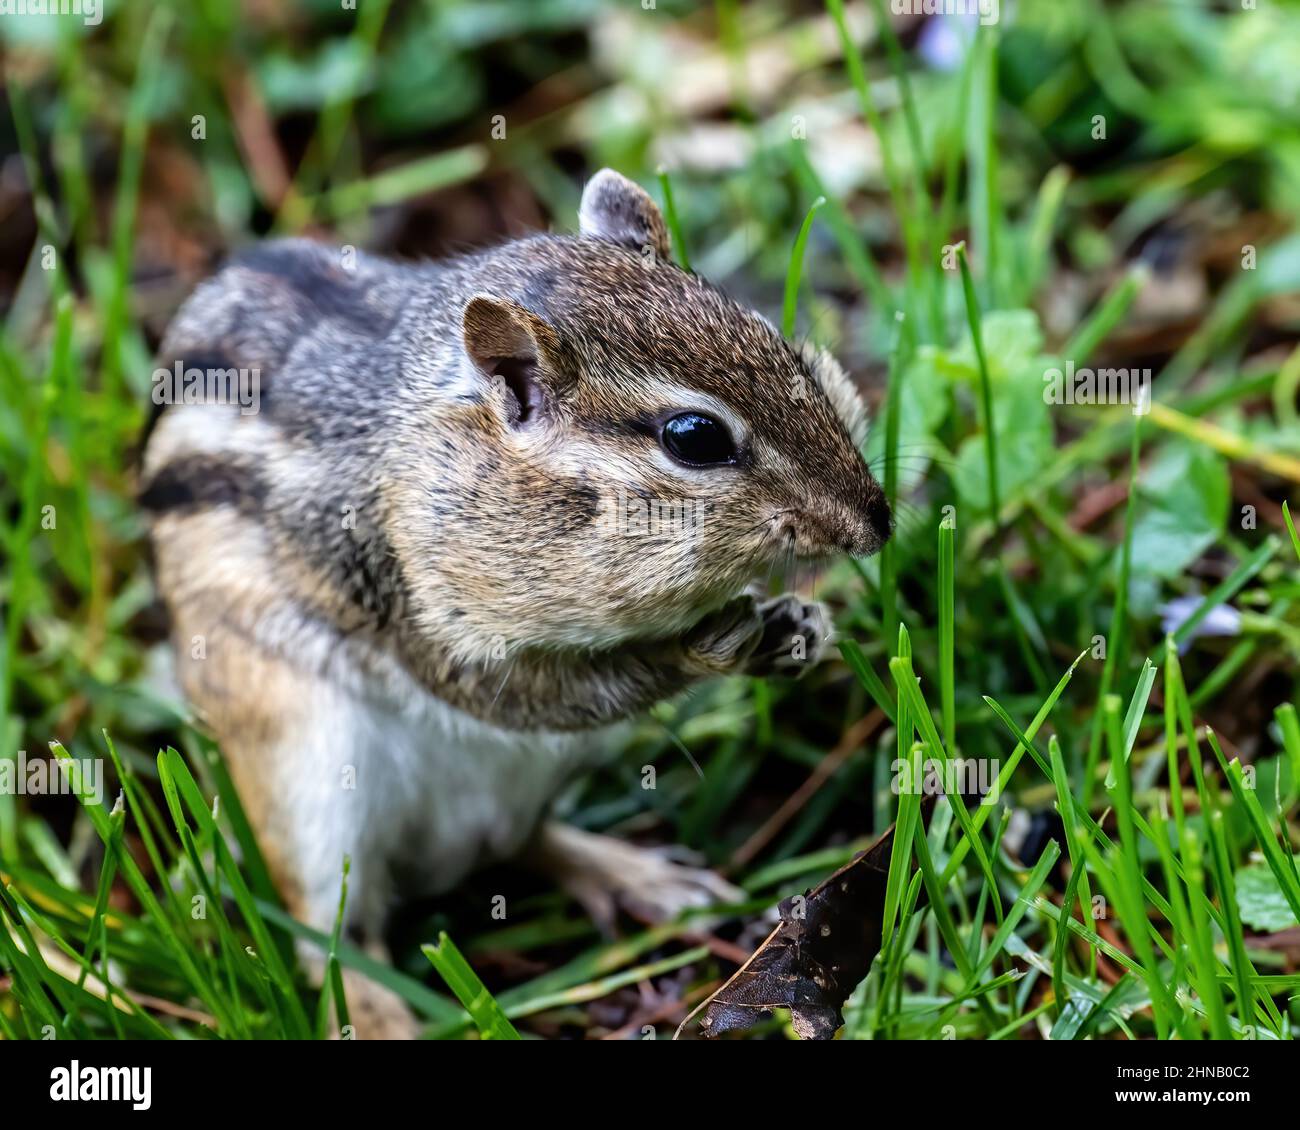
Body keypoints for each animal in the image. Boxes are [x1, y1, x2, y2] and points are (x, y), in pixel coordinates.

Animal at [141, 169, 891, 1037]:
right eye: (694, 436)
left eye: (781, 346)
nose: (877, 523)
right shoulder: (410, 602)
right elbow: (528, 692)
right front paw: (707, 645)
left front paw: (801, 626)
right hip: (309, 783)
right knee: (334, 938)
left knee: (522, 843)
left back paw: (642, 878)